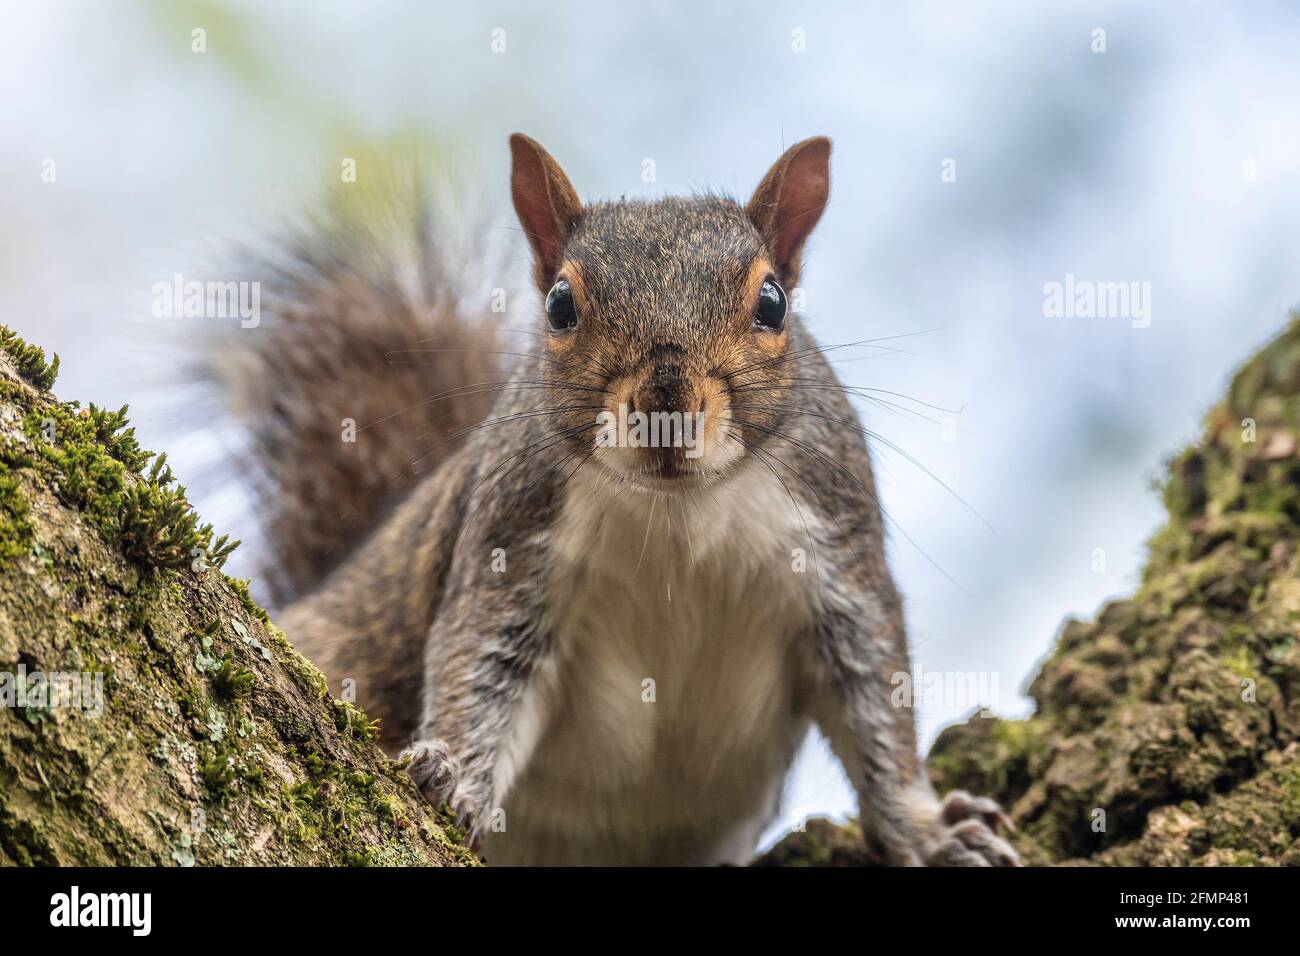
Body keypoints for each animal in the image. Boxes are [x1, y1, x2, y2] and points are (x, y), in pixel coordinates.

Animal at [207, 134, 1019, 866]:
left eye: (773, 302)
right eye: (560, 305)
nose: (667, 408)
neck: (679, 515)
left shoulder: (838, 548)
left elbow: (874, 698)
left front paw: (930, 834)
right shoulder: (508, 546)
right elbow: (479, 668)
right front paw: (454, 777)